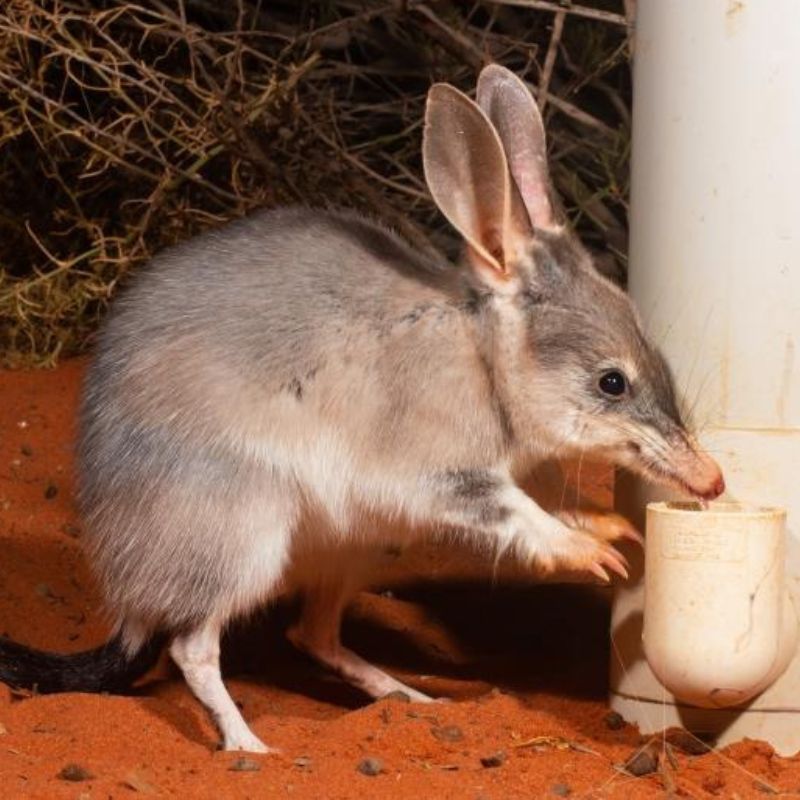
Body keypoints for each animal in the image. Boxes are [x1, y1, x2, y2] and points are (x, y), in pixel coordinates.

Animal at [0, 64, 724, 753]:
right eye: (611, 383)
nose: (712, 481)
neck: (483, 352)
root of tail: (131, 601)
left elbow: (545, 498)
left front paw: (609, 526)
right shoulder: (440, 475)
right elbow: (516, 511)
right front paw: (586, 552)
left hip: (348, 545)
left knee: (310, 635)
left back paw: (411, 699)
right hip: (247, 534)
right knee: (193, 648)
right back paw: (249, 744)